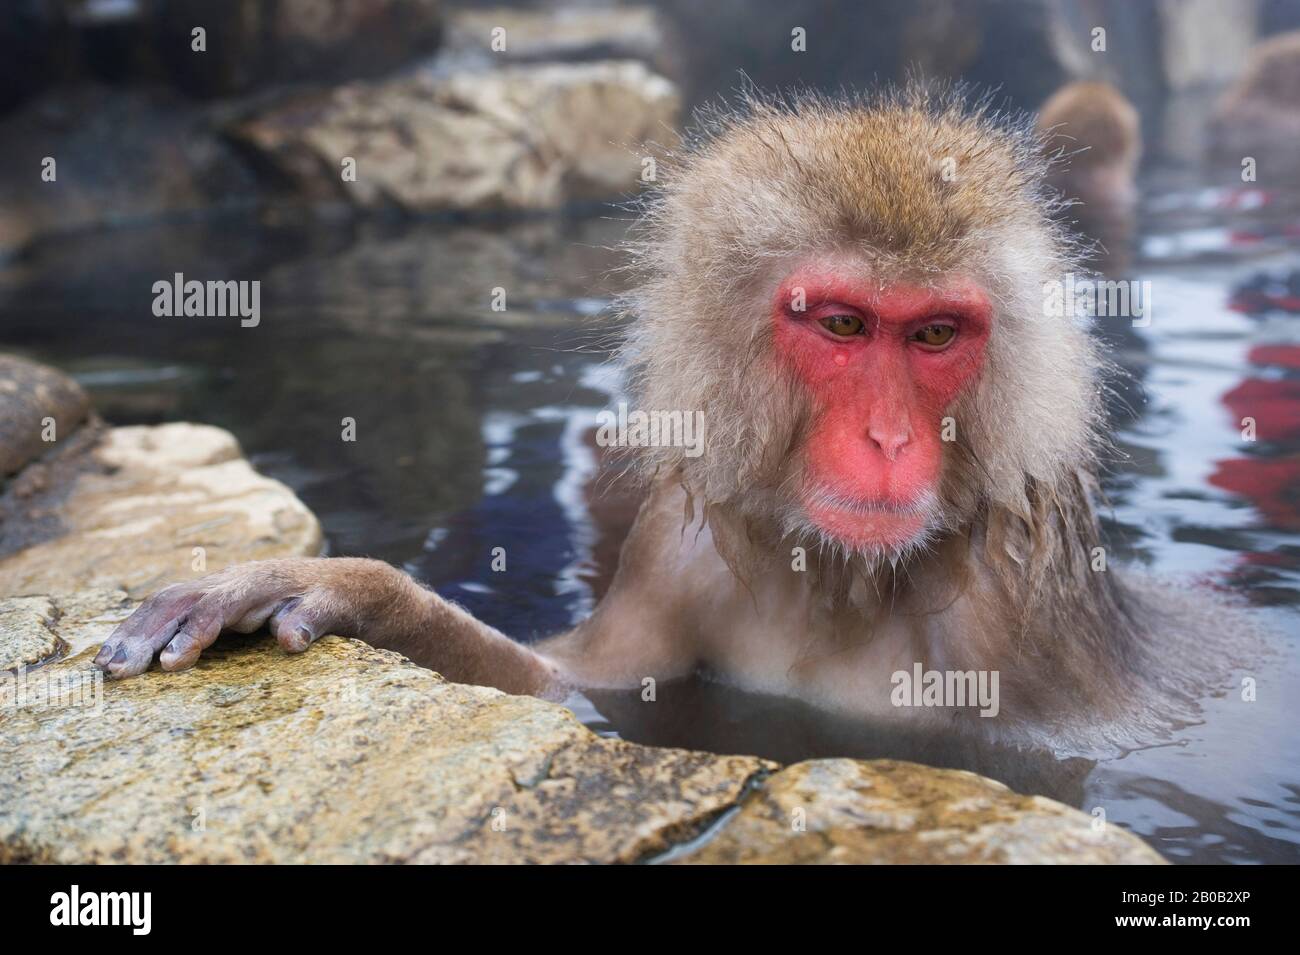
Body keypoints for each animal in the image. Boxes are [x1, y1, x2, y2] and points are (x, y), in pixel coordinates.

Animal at [95, 87, 1222, 749]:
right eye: (844, 324)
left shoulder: (1014, 608)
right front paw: (346, 587)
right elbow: (573, 682)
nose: (892, 440)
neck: (844, 577)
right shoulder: (677, 547)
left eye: (938, 334)